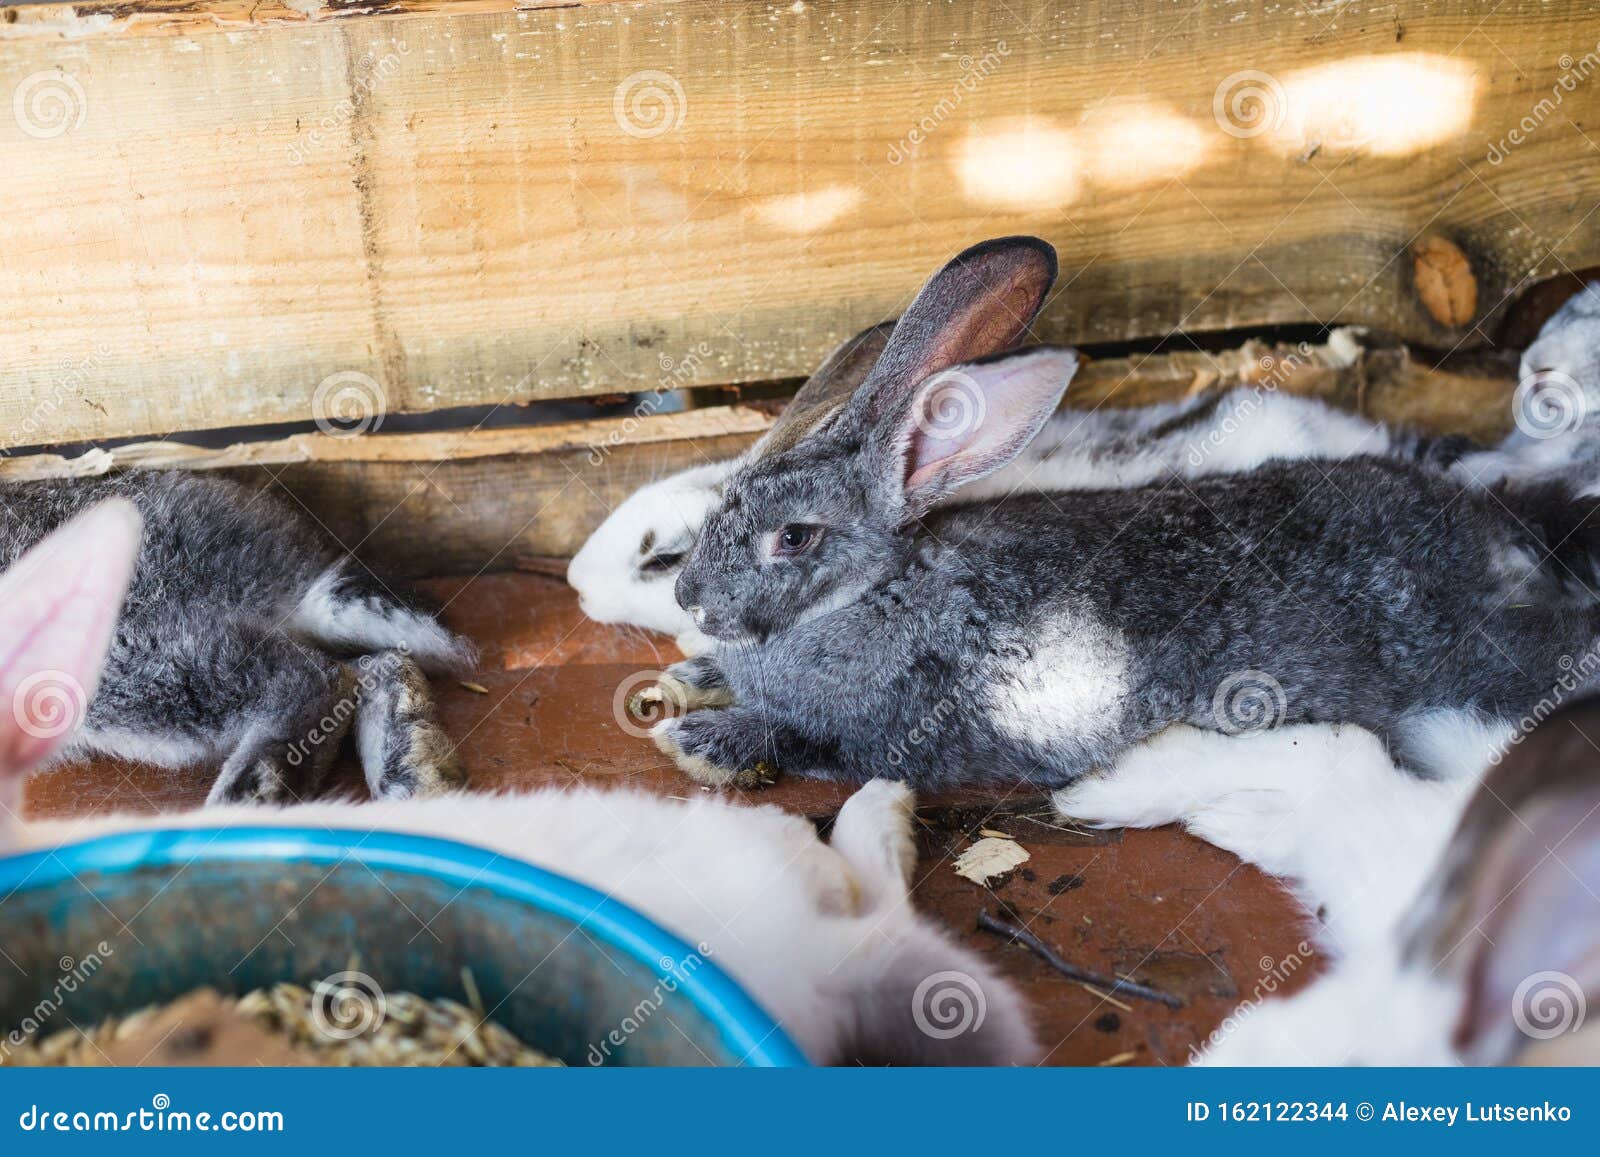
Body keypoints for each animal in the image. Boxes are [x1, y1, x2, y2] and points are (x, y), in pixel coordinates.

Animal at [652, 235, 1600, 791]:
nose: (688, 598)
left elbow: (807, 741)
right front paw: (691, 674)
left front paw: (700, 738)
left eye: (794, 538)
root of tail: (1491, 530)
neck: (874, 593)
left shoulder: (898, 735)